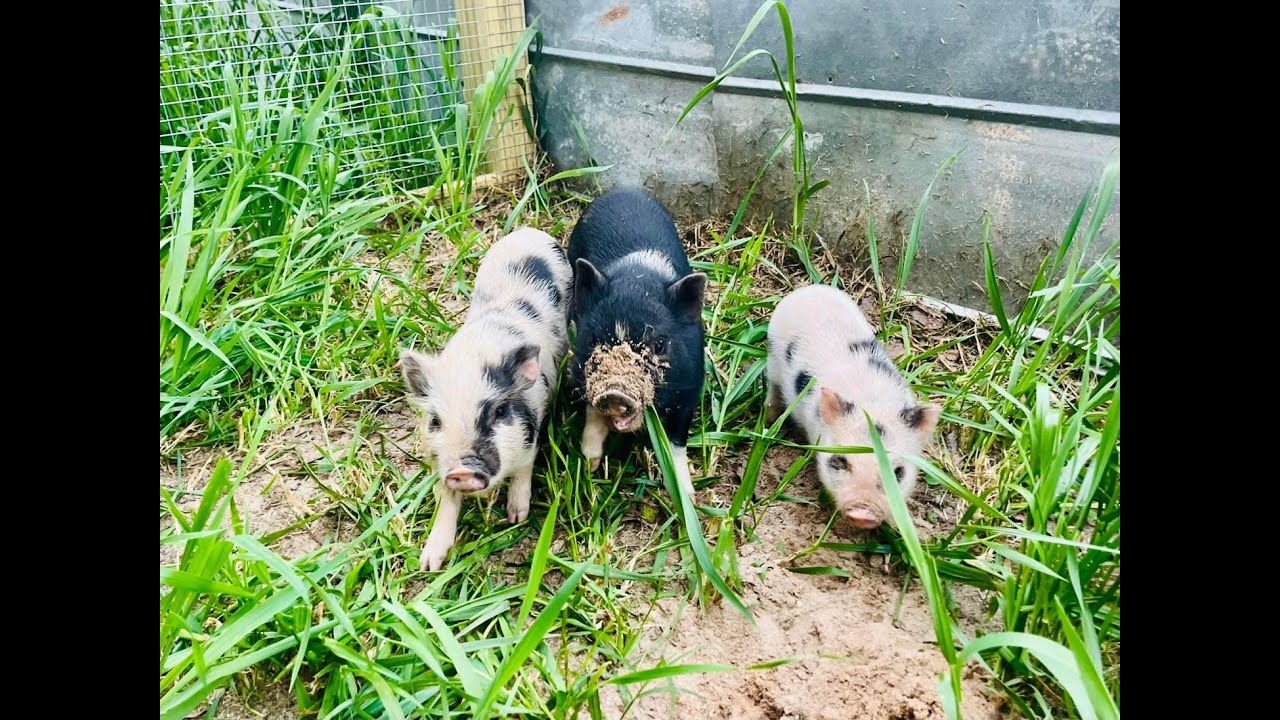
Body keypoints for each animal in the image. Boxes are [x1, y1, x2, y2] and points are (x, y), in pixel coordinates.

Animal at [399, 227, 571, 570]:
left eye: (500, 411)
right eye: (435, 420)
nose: (463, 471)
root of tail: (528, 232)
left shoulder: (530, 435)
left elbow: (523, 471)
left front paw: (516, 517)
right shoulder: (440, 463)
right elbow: (446, 501)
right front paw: (429, 565)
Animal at [566, 188, 706, 498]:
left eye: (659, 345)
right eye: (594, 340)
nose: (616, 393)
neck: (638, 279)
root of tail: (623, 190)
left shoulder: (690, 389)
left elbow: (676, 442)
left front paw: (686, 496)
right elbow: (593, 413)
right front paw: (590, 465)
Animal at [766, 284, 941, 530]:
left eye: (897, 472)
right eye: (840, 461)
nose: (862, 512)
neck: (873, 403)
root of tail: (810, 290)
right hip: (772, 356)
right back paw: (769, 417)